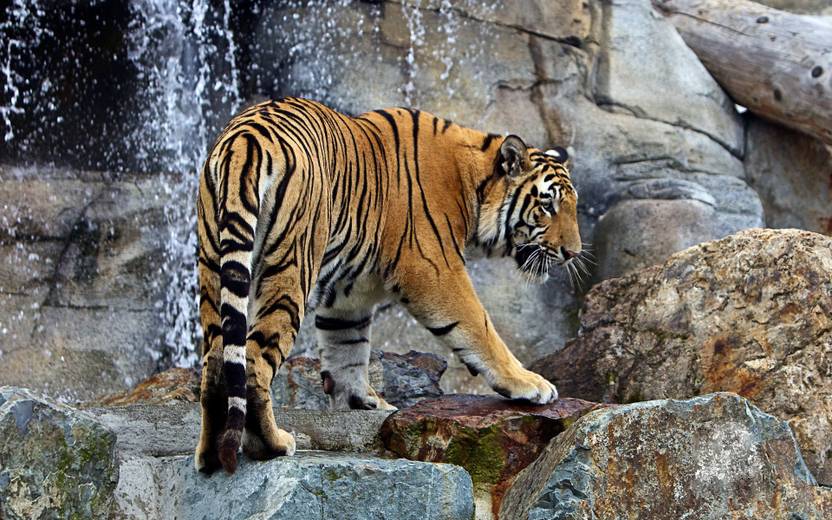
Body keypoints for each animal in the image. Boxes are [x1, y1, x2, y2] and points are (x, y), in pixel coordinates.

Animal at [195, 97, 583, 474]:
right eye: (547, 205)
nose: (573, 253)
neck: (473, 183)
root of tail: (245, 140)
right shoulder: (436, 270)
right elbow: (480, 328)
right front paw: (530, 384)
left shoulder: (348, 298)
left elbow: (348, 352)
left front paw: (365, 404)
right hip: (291, 268)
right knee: (253, 360)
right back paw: (272, 444)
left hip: (214, 269)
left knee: (216, 362)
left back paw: (210, 456)